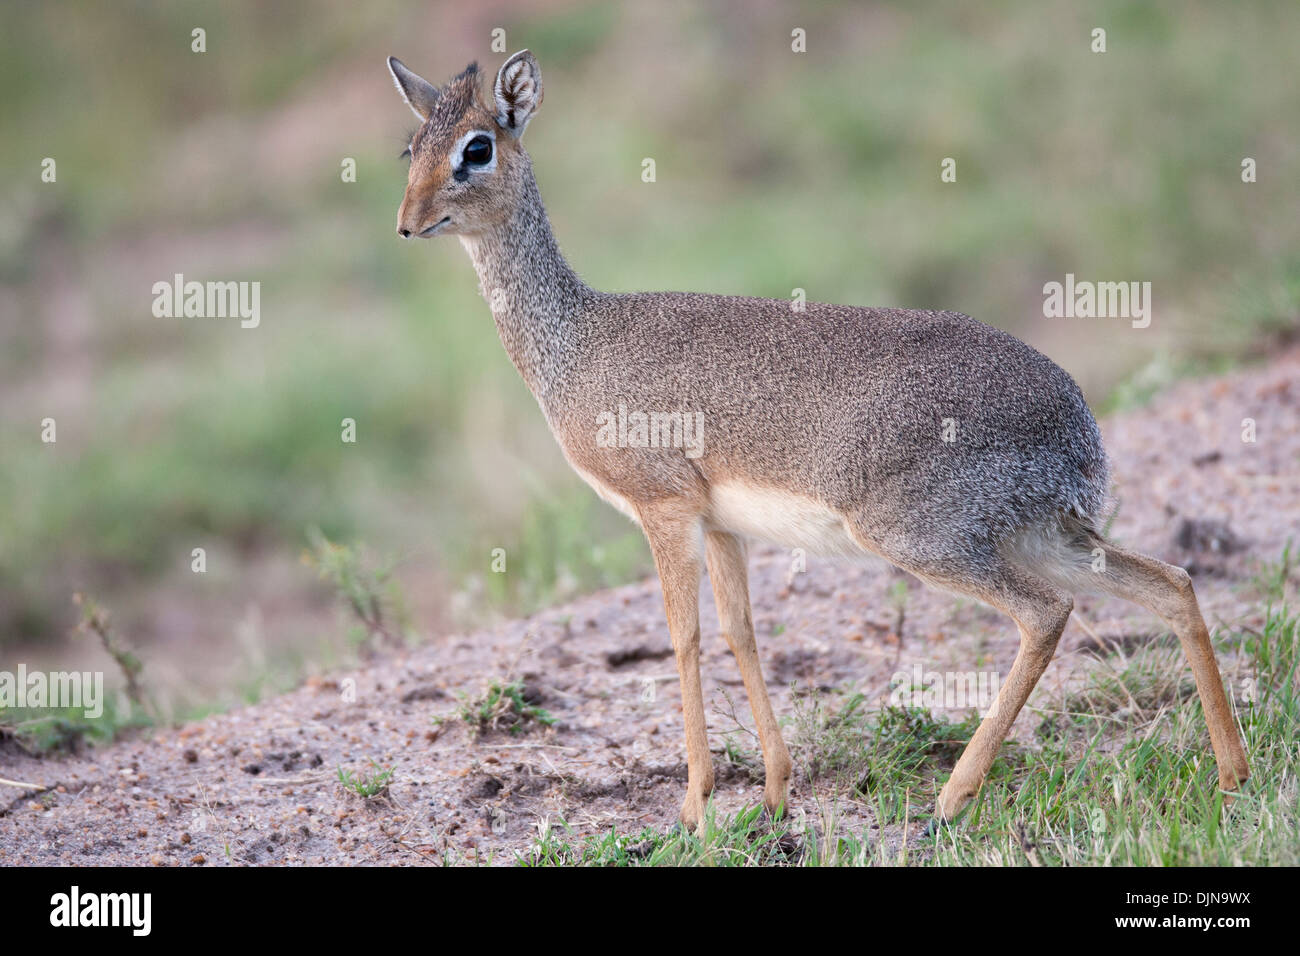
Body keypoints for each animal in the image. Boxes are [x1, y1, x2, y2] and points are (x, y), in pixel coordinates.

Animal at [387, 50, 1250, 831]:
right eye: (411, 147)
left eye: (477, 147)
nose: (407, 223)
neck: (575, 341)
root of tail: (1076, 424)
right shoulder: (722, 525)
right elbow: (740, 634)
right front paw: (771, 794)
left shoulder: (664, 510)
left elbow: (684, 638)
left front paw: (694, 808)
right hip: (1042, 534)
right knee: (1170, 583)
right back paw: (1232, 775)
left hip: (925, 540)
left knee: (1046, 615)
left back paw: (950, 800)